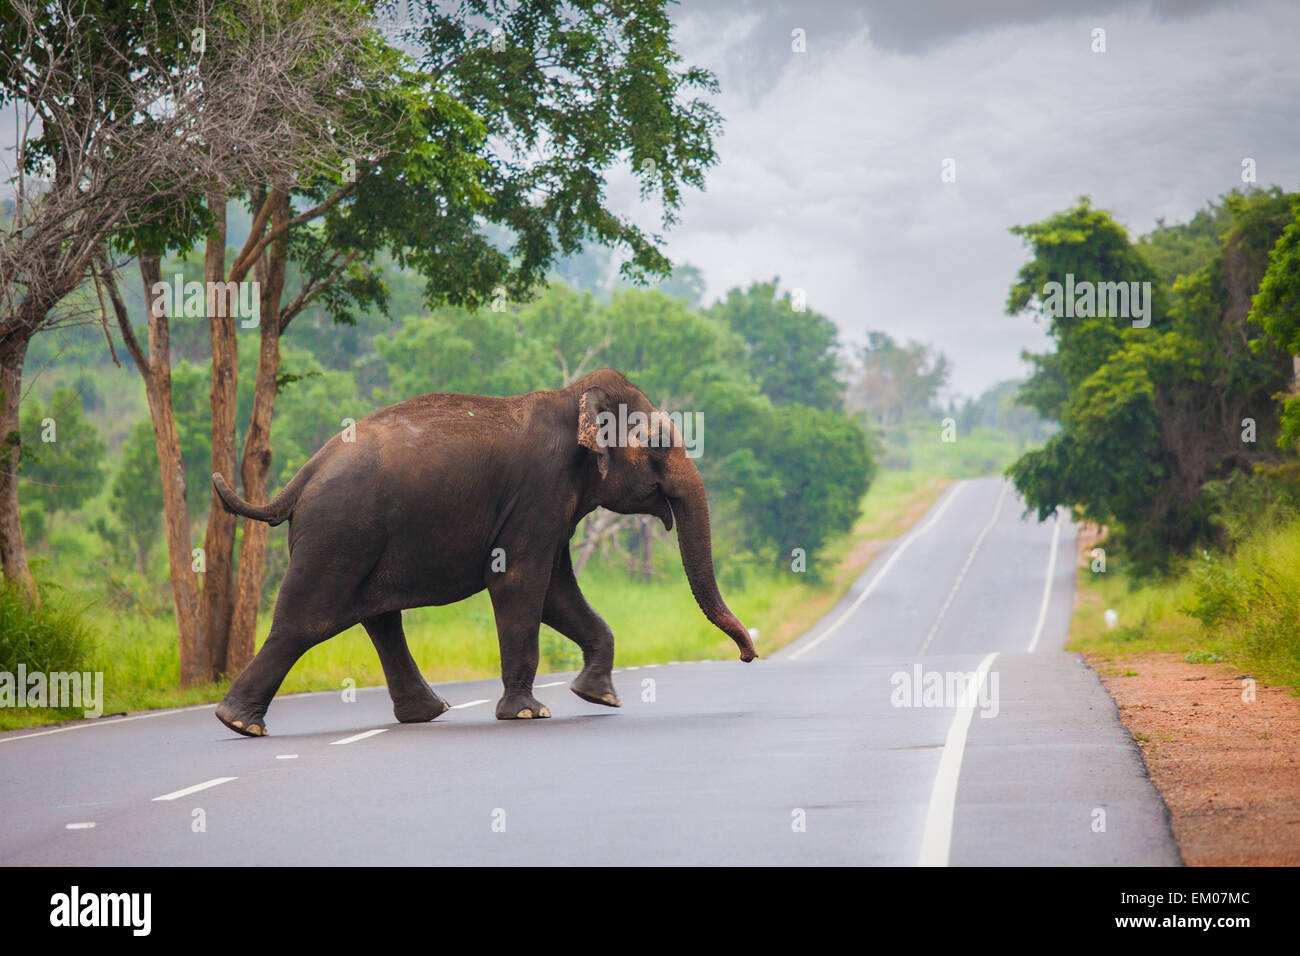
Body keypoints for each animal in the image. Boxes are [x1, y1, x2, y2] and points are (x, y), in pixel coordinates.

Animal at [210, 368, 756, 736]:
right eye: (660, 445)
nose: (750, 654)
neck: (570, 398)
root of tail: (302, 476)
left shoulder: (550, 507)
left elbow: (556, 594)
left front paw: (597, 695)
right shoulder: (539, 490)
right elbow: (519, 582)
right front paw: (530, 713)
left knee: (379, 619)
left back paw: (427, 714)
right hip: (340, 532)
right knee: (308, 621)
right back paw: (239, 724)